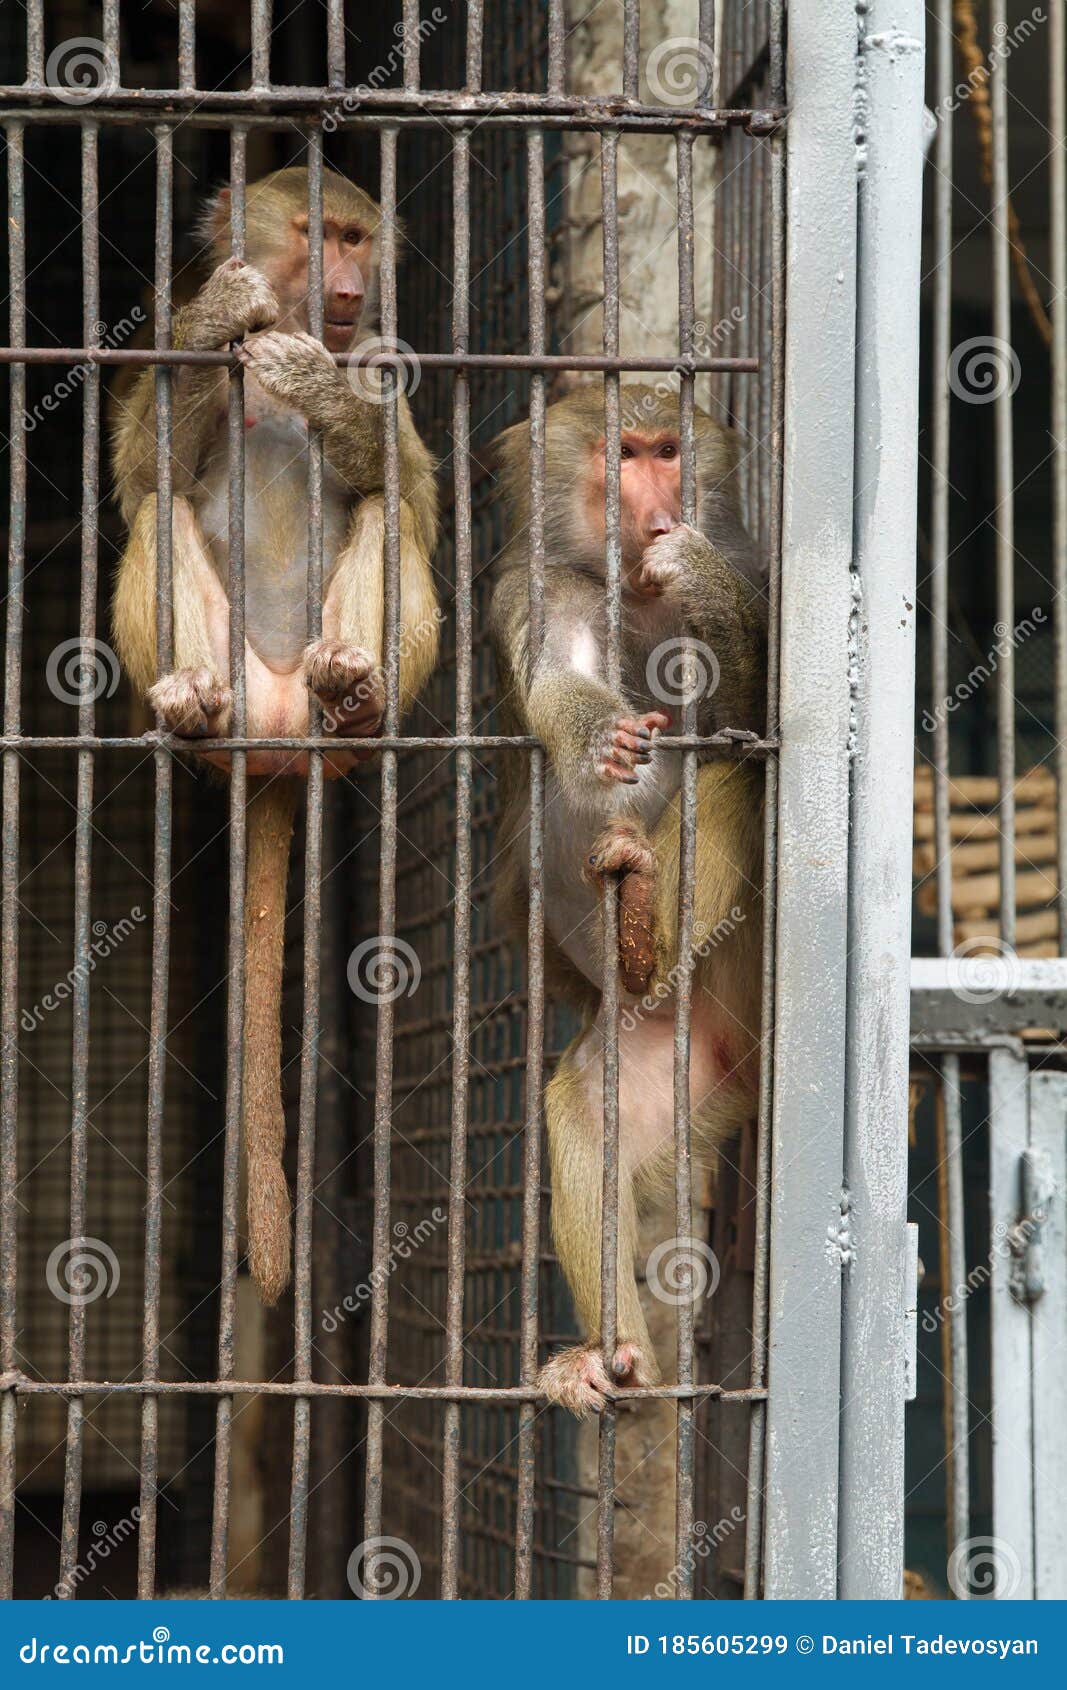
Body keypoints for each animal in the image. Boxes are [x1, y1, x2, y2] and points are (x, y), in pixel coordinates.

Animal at [110, 167, 439, 1306]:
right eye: (314, 235)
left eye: (358, 239)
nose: (346, 287)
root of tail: (280, 734)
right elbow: (143, 474)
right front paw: (227, 312)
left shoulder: (389, 364)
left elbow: (413, 495)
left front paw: (322, 389)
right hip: (228, 672)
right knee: (159, 515)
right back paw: (189, 706)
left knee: (388, 514)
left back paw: (358, 696)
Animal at [490, 383, 767, 1414]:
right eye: (623, 453)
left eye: (668, 451)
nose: (655, 515)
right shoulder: (545, 593)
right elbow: (556, 685)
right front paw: (596, 732)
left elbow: (750, 724)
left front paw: (694, 569)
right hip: (665, 1059)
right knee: (583, 1111)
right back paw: (615, 1361)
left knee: (727, 777)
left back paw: (649, 923)